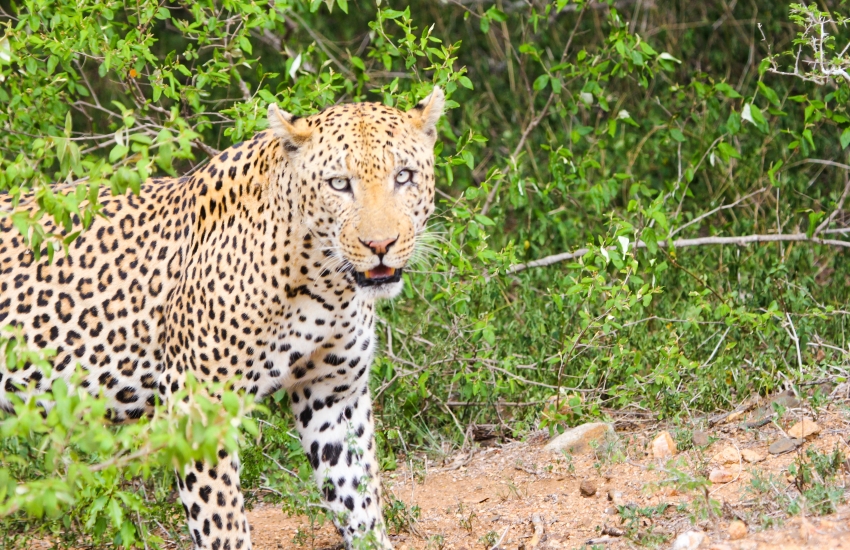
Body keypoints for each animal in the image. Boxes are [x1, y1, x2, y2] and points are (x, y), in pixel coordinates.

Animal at [0, 87, 445, 549]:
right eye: (339, 184)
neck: (326, 285)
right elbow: (223, 526)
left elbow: (359, 504)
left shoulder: (334, 396)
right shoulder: (200, 406)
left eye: (404, 176)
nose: (380, 245)